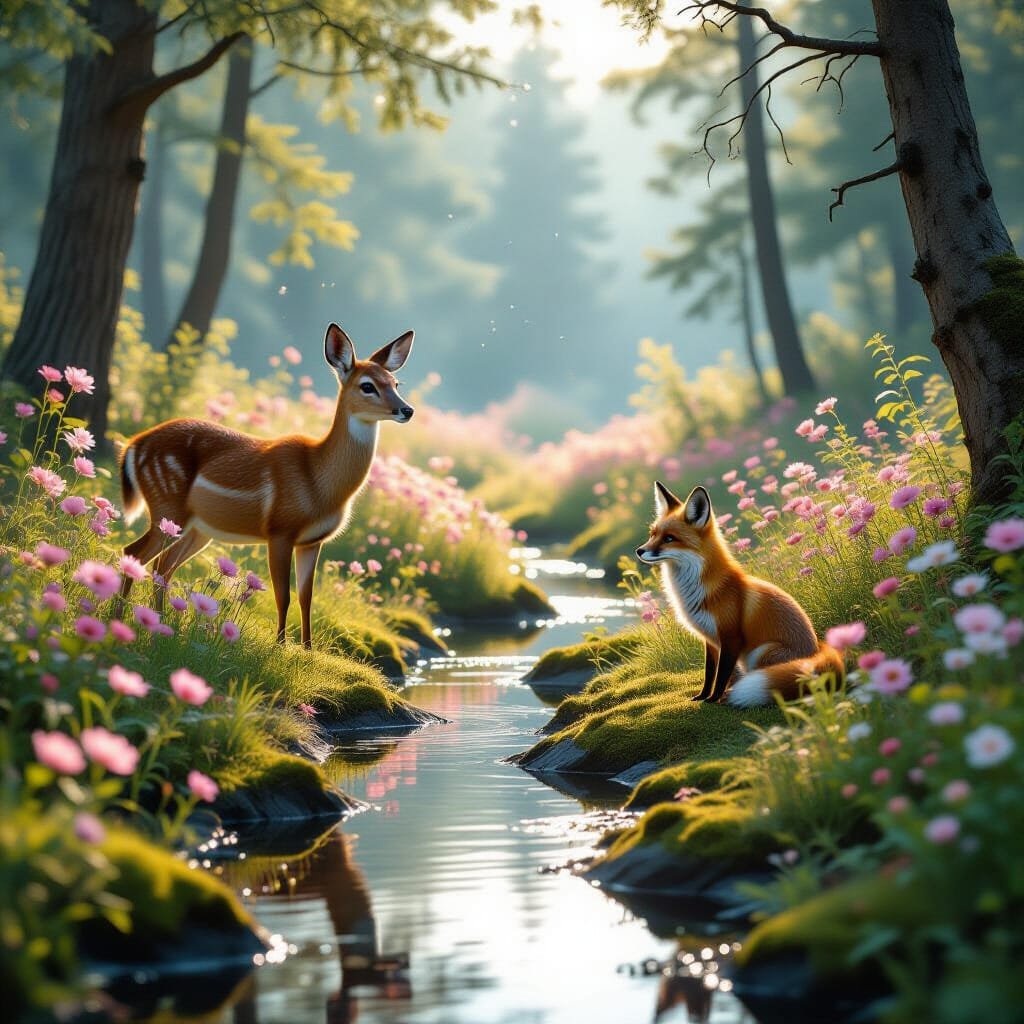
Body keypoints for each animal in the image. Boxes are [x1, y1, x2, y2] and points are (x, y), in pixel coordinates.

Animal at [117, 323, 414, 649]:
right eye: (367, 386)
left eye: (395, 383)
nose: (407, 410)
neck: (320, 484)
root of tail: (133, 446)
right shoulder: (280, 529)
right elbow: (283, 595)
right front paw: (280, 646)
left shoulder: (312, 541)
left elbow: (306, 597)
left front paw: (307, 649)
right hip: (167, 506)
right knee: (134, 552)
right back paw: (118, 620)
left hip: (197, 528)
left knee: (162, 567)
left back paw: (161, 627)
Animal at [635, 481, 844, 707]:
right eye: (652, 534)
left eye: (669, 538)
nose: (639, 551)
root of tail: (814, 654)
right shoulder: (711, 640)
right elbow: (710, 673)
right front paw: (703, 696)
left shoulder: (731, 636)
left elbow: (722, 674)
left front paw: (714, 699)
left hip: (762, 652)